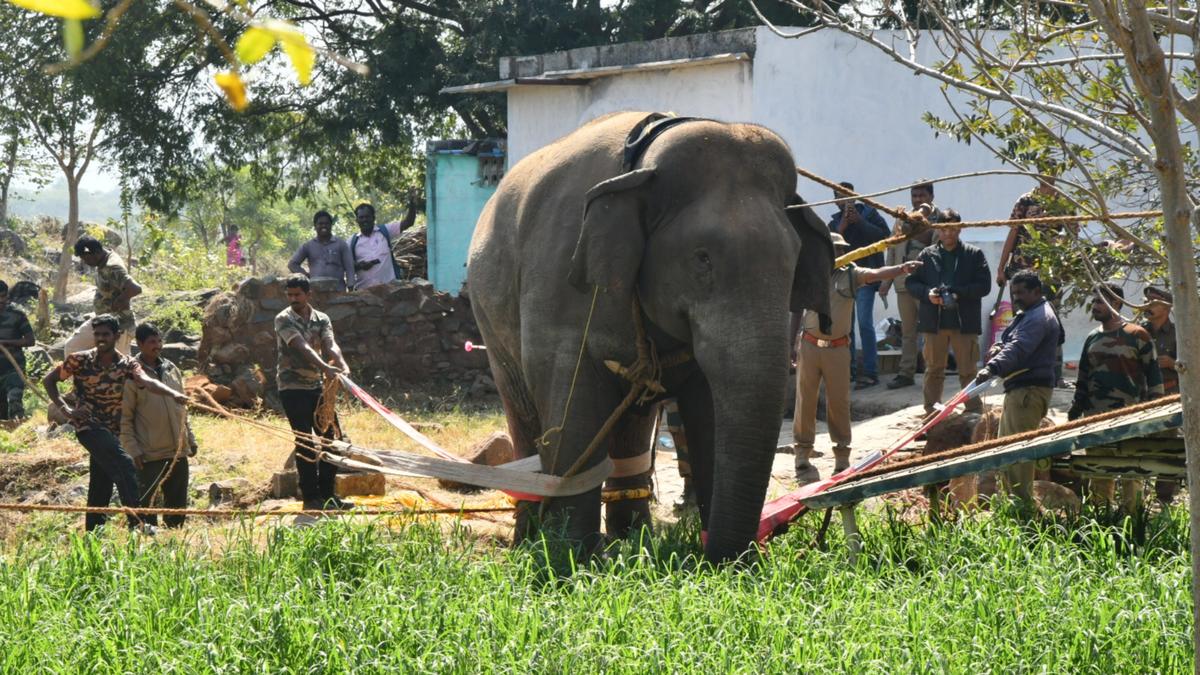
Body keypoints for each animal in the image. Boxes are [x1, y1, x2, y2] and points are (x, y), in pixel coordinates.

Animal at [467, 111, 834, 563]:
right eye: (702, 258)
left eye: (793, 261)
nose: (724, 559)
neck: (644, 159)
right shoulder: (557, 277)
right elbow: (572, 404)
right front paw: (571, 561)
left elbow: (710, 408)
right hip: (489, 319)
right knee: (522, 409)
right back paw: (531, 542)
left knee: (633, 426)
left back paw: (632, 540)